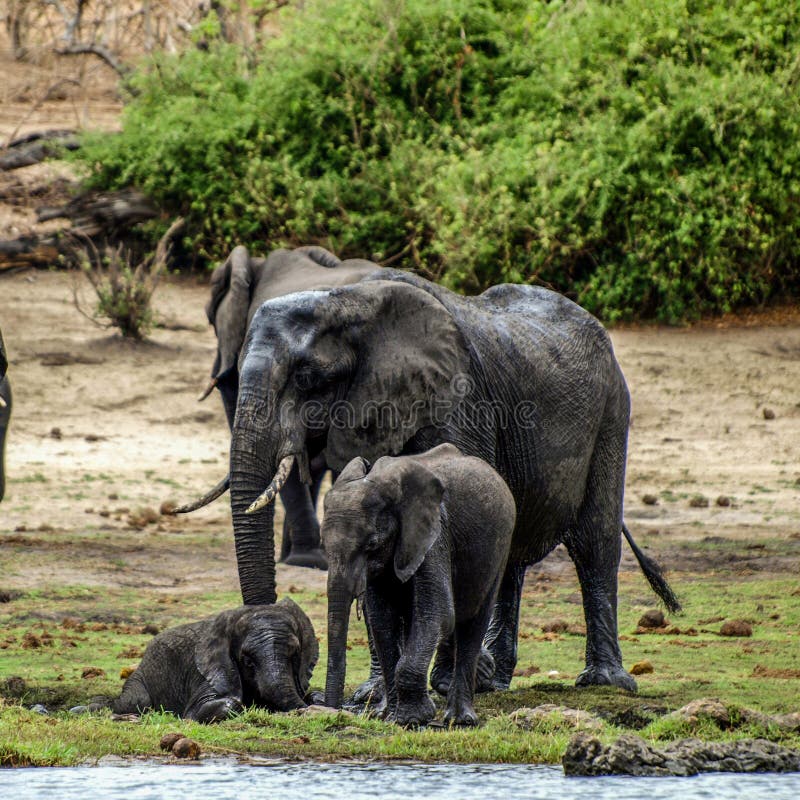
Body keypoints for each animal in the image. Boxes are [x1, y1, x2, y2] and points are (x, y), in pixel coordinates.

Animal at [113, 598, 318, 722]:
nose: (303, 710)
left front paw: (315, 699)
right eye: (248, 661)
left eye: (295, 656)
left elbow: (315, 694)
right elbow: (206, 708)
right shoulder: (211, 673)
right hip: (138, 680)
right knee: (136, 701)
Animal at [322, 445, 516, 727]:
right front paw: (390, 717)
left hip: (500, 549)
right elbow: (382, 620)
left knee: (473, 623)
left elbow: (437, 613)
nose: (332, 710)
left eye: (371, 545)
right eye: (323, 545)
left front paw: (413, 718)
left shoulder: (435, 535)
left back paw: (460, 720)